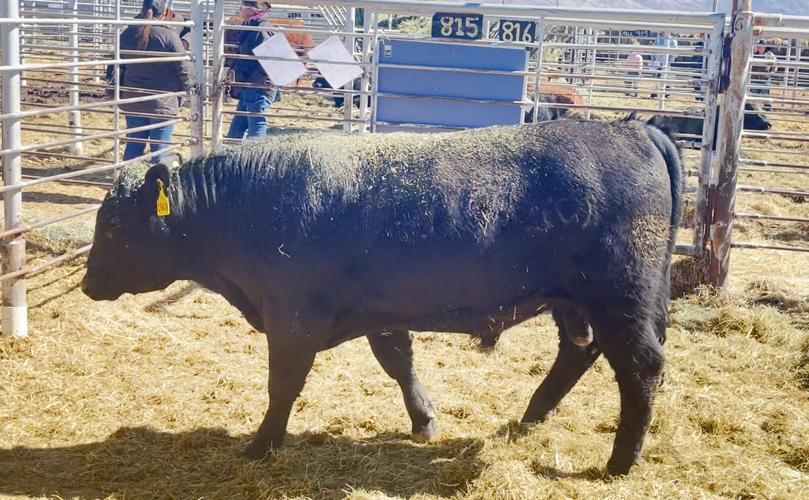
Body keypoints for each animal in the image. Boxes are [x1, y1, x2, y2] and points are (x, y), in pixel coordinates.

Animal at [82, 118, 683, 476]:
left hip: (620, 296)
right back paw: (530, 418)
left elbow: (283, 385)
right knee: (579, 352)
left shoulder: (291, 319)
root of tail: (633, 130)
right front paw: (425, 422)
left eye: (112, 227)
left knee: (641, 367)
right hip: (578, 303)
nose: (88, 285)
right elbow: (399, 362)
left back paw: (620, 462)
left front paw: (261, 444)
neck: (246, 206)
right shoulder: (381, 312)